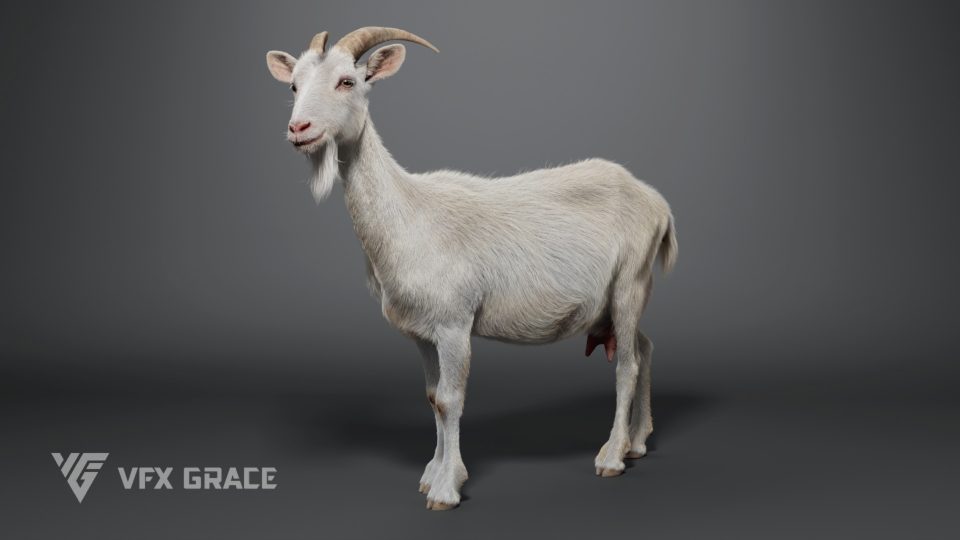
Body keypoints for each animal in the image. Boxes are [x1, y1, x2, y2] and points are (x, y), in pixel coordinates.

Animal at [265, 27, 678, 510]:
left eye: (348, 81)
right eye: (294, 86)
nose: (299, 129)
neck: (410, 213)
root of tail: (655, 201)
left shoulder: (454, 323)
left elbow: (450, 399)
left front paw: (446, 488)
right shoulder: (422, 332)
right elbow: (432, 398)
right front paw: (433, 473)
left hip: (630, 280)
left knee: (627, 365)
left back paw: (611, 456)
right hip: (620, 299)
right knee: (645, 348)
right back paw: (638, 442)